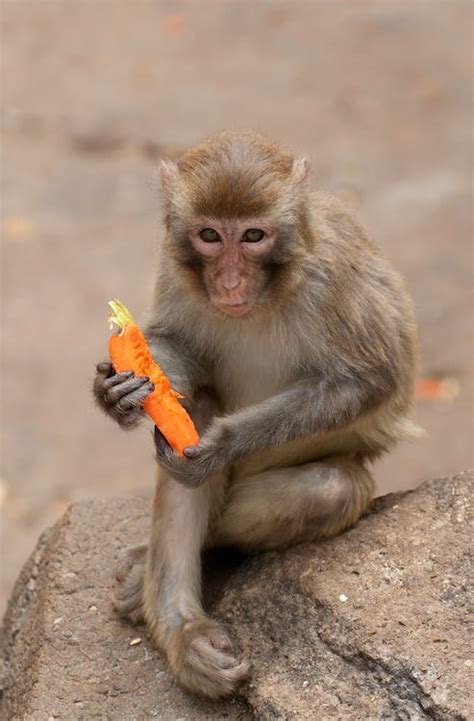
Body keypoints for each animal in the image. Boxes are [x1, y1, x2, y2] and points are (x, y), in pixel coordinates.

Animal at [93, 131, 419, 699]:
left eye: (252, 236)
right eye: (208, 235)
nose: (228, 282)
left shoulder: (332, 277)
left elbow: (369, 381)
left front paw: (220, 445)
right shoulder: (174, 271)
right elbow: (177, 357)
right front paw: (116, 391)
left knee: (332, 488)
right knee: (196, 404)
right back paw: (182, 628)